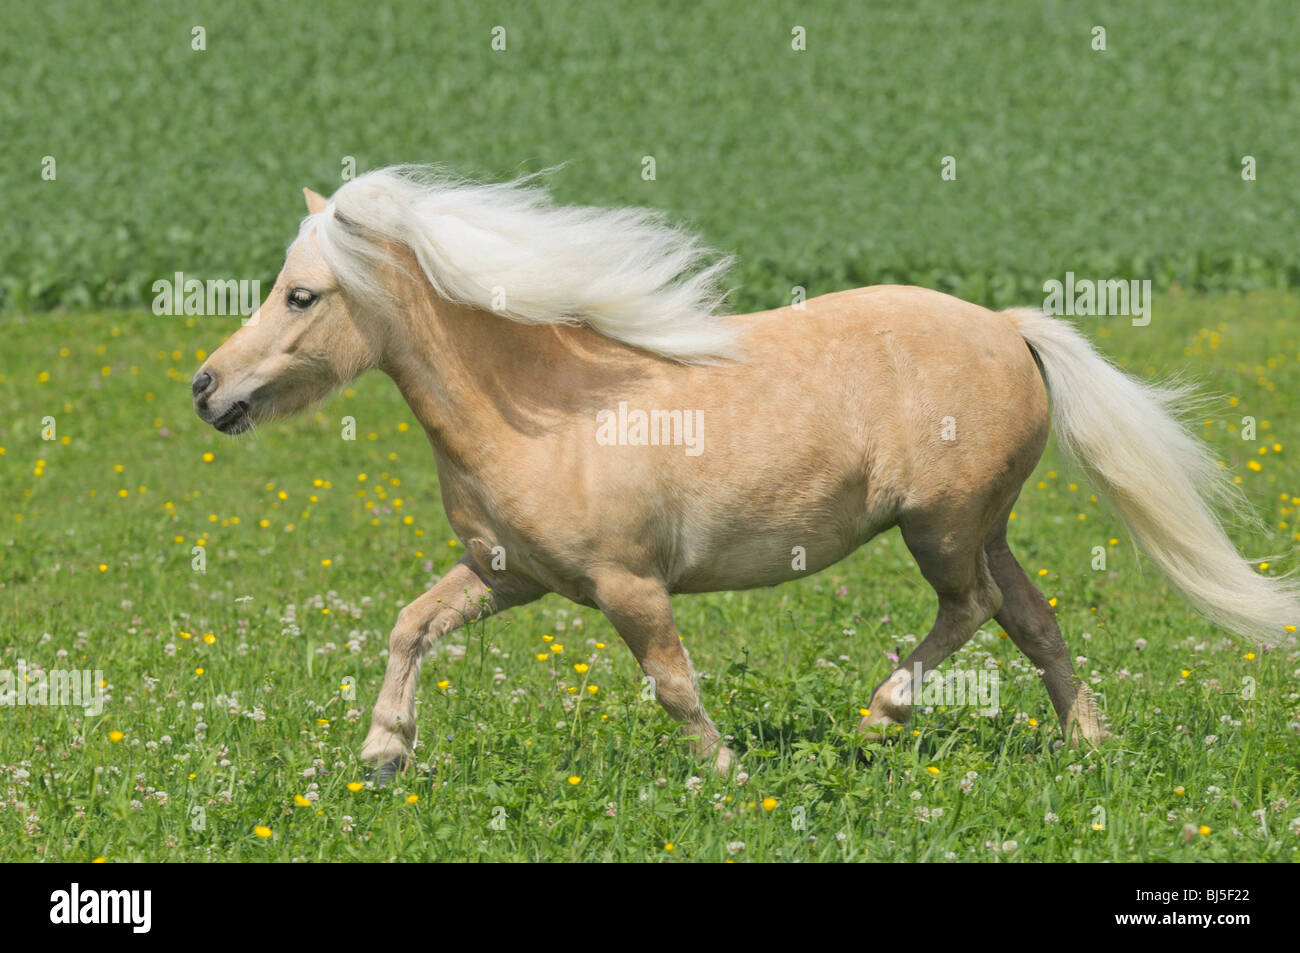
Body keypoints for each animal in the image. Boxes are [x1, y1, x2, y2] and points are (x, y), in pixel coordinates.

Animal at [193, 166, 1298, 782]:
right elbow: (411, 625)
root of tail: (1007, 325)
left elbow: (673, 682)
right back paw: (1091, 745)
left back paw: (879, 716)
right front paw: (382, 756)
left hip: (941, 524)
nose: (208, 390)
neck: (541, 409)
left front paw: (724, 773)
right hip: (984, 523)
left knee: (975, 608)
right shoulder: (509, 576)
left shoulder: (629, 585)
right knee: (1034, 618)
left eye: (301, 295)